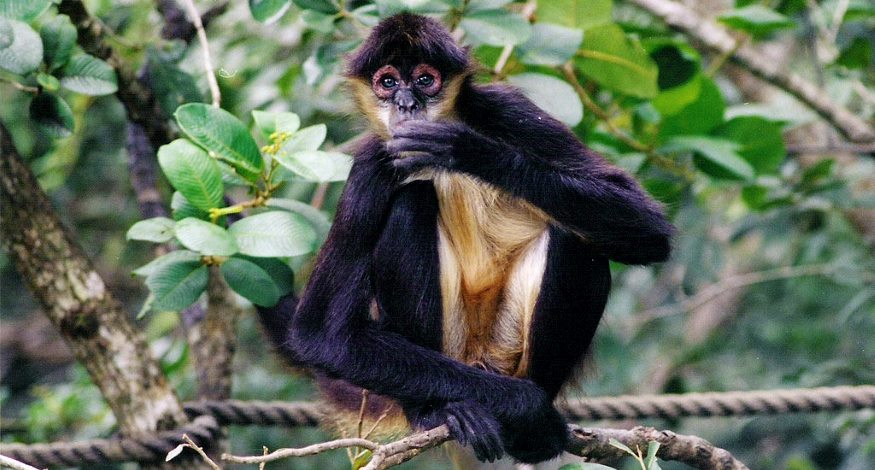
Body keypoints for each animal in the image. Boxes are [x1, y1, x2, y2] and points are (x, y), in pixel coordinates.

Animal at [258, 13, 673, 465]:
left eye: (425, 79)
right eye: (387, 82)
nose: (406, 104)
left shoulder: (507, 108)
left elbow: (649, 226)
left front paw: (465, 149)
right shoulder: (372, 162)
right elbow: (319, 335)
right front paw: (522, 404)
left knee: (574, 239)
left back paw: (531, 427)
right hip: (451, 352)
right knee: (412, 202)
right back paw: (446, 412)